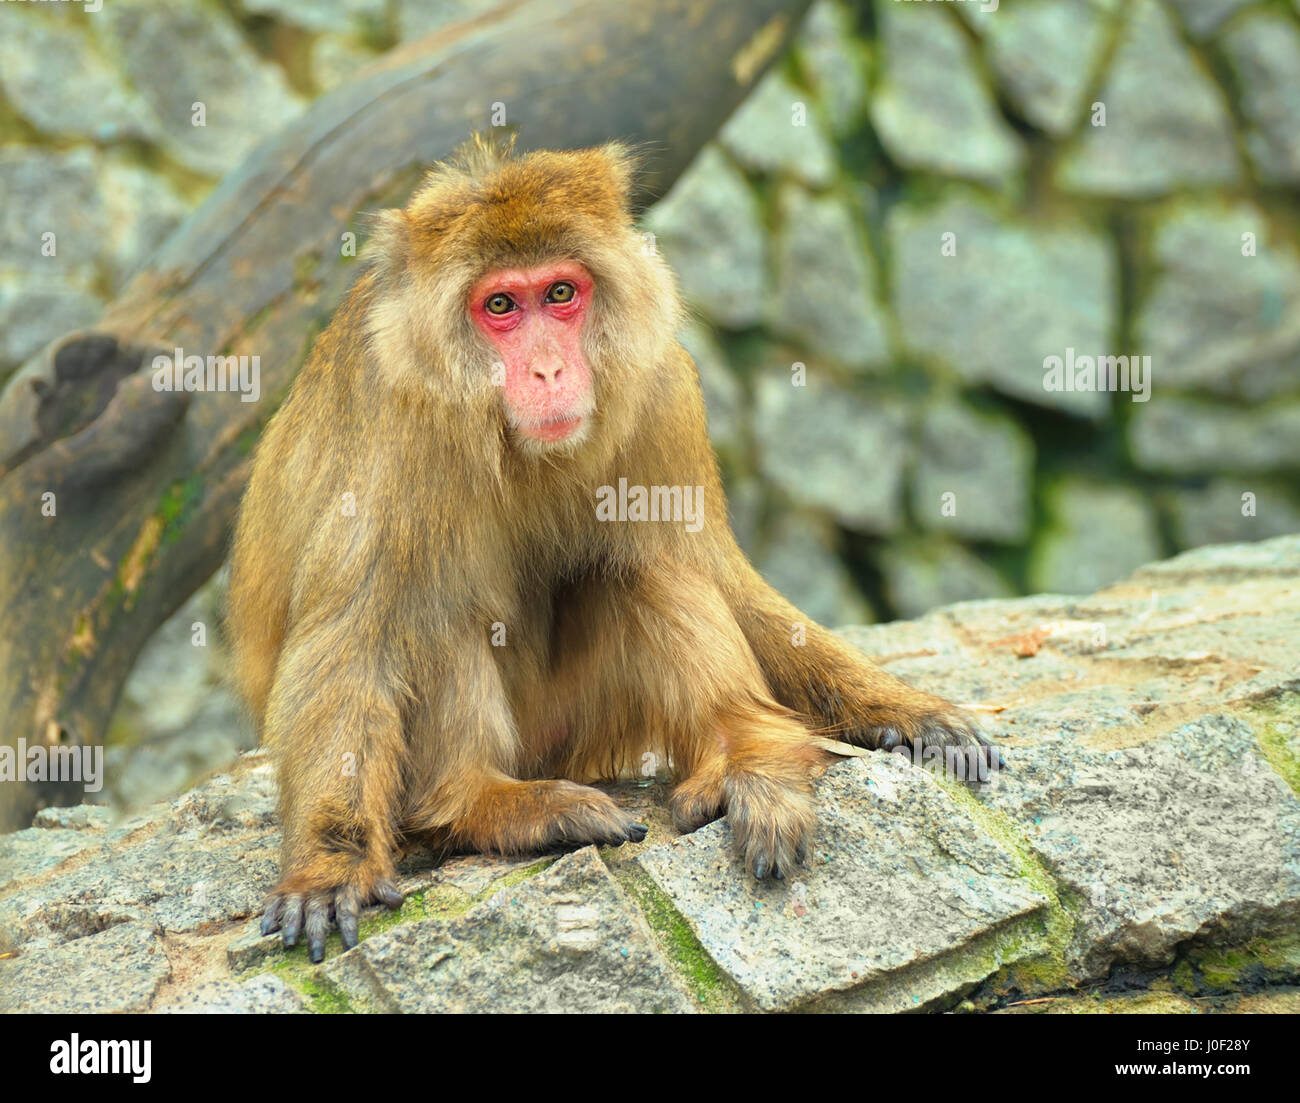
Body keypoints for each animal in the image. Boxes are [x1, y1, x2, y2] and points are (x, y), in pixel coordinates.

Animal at [226, 136, 998, 963]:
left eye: (561, 292)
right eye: (501, 306)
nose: (549, 369)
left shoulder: (661, 387)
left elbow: (715, 571)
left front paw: (902, 710)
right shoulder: (393, 421)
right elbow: (354, 636)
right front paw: (329, 861)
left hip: (578, 724)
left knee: (644, 563)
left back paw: (742, 756)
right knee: (434, 610)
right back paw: (483, 803)